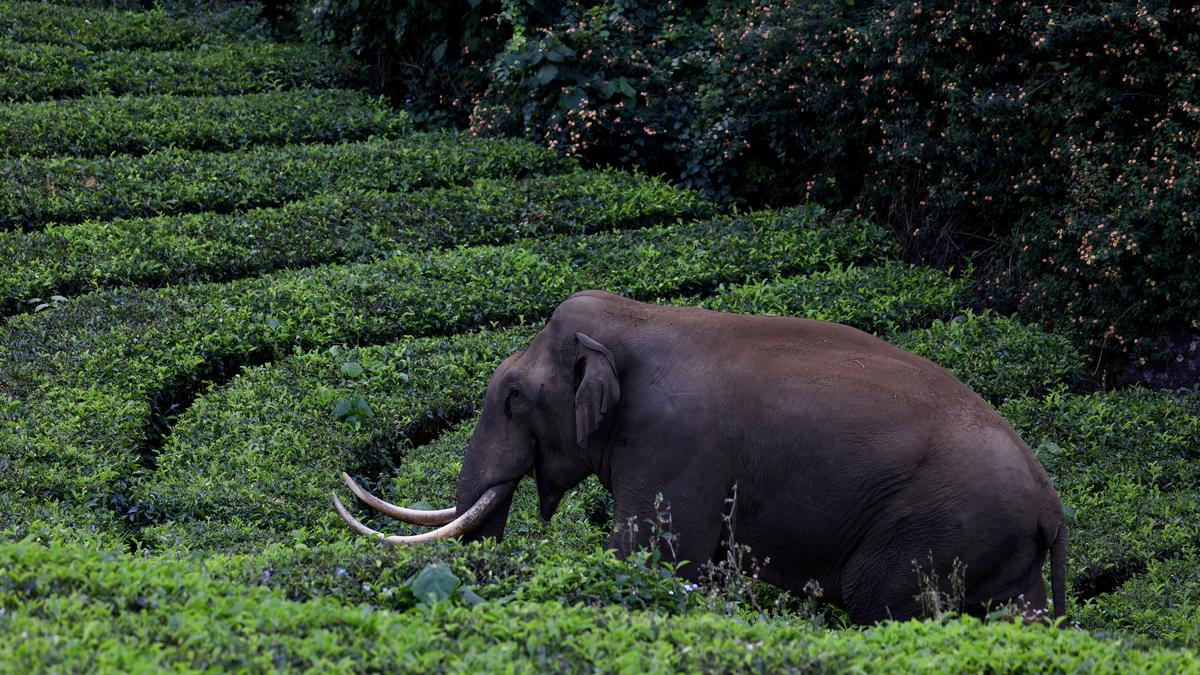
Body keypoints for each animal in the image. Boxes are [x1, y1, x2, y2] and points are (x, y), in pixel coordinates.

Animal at [333, 290, 1068, 624]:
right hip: (1001, 555)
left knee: (880, 603)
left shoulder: (675, 449)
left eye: (513, 397)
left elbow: (652, 559)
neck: (638, 316)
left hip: (932, 530)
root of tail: (1052, 506)